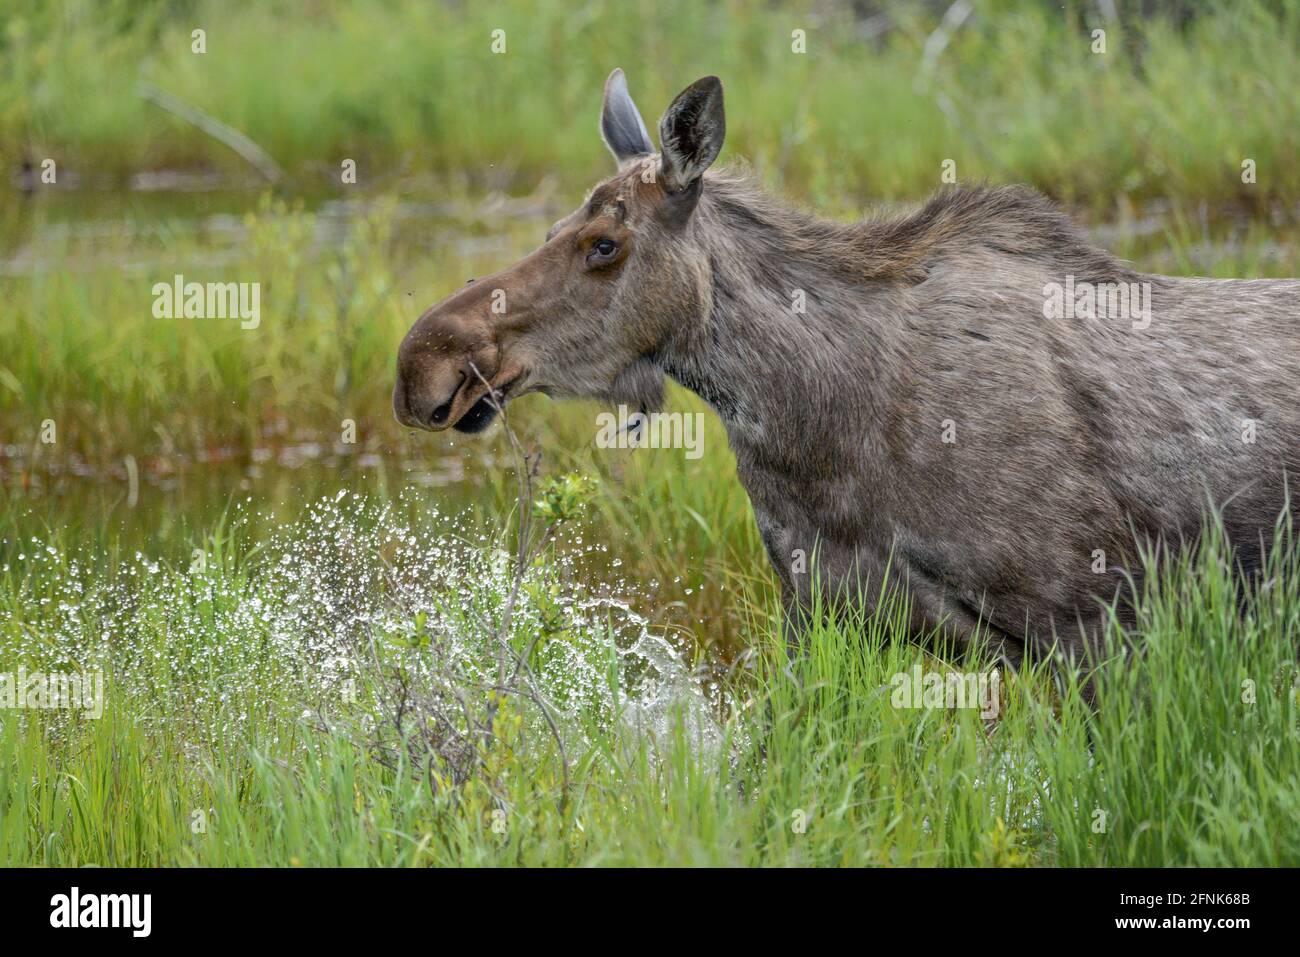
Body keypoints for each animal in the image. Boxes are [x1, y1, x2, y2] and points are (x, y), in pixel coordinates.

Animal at [394, 69, 1300, 678]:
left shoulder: (1095, 624)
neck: (816, 429)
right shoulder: (822, 613)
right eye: (553, 226)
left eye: (603, 244)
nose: (423, 363)